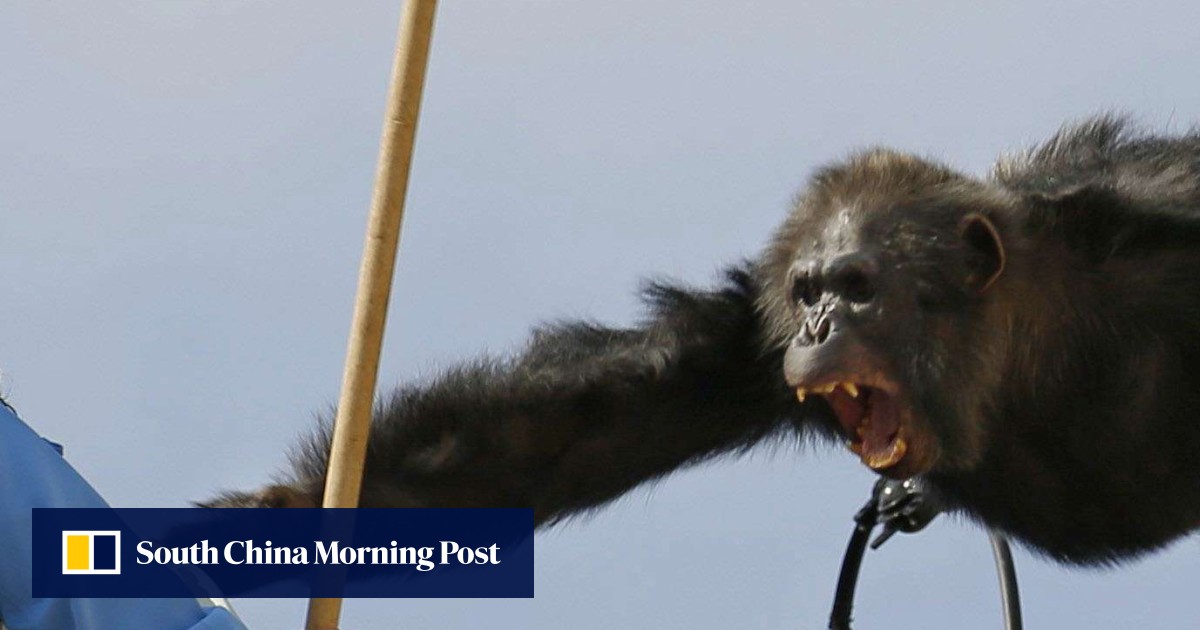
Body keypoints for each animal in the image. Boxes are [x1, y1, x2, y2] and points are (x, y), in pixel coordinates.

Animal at [206, 116, 1200, 568]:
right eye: (806, 292)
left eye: (857, 287)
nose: (821, 326)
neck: (1020, 346)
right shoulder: (752, 349)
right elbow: (562, 434)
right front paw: (280, 508)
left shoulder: (1158, 220)